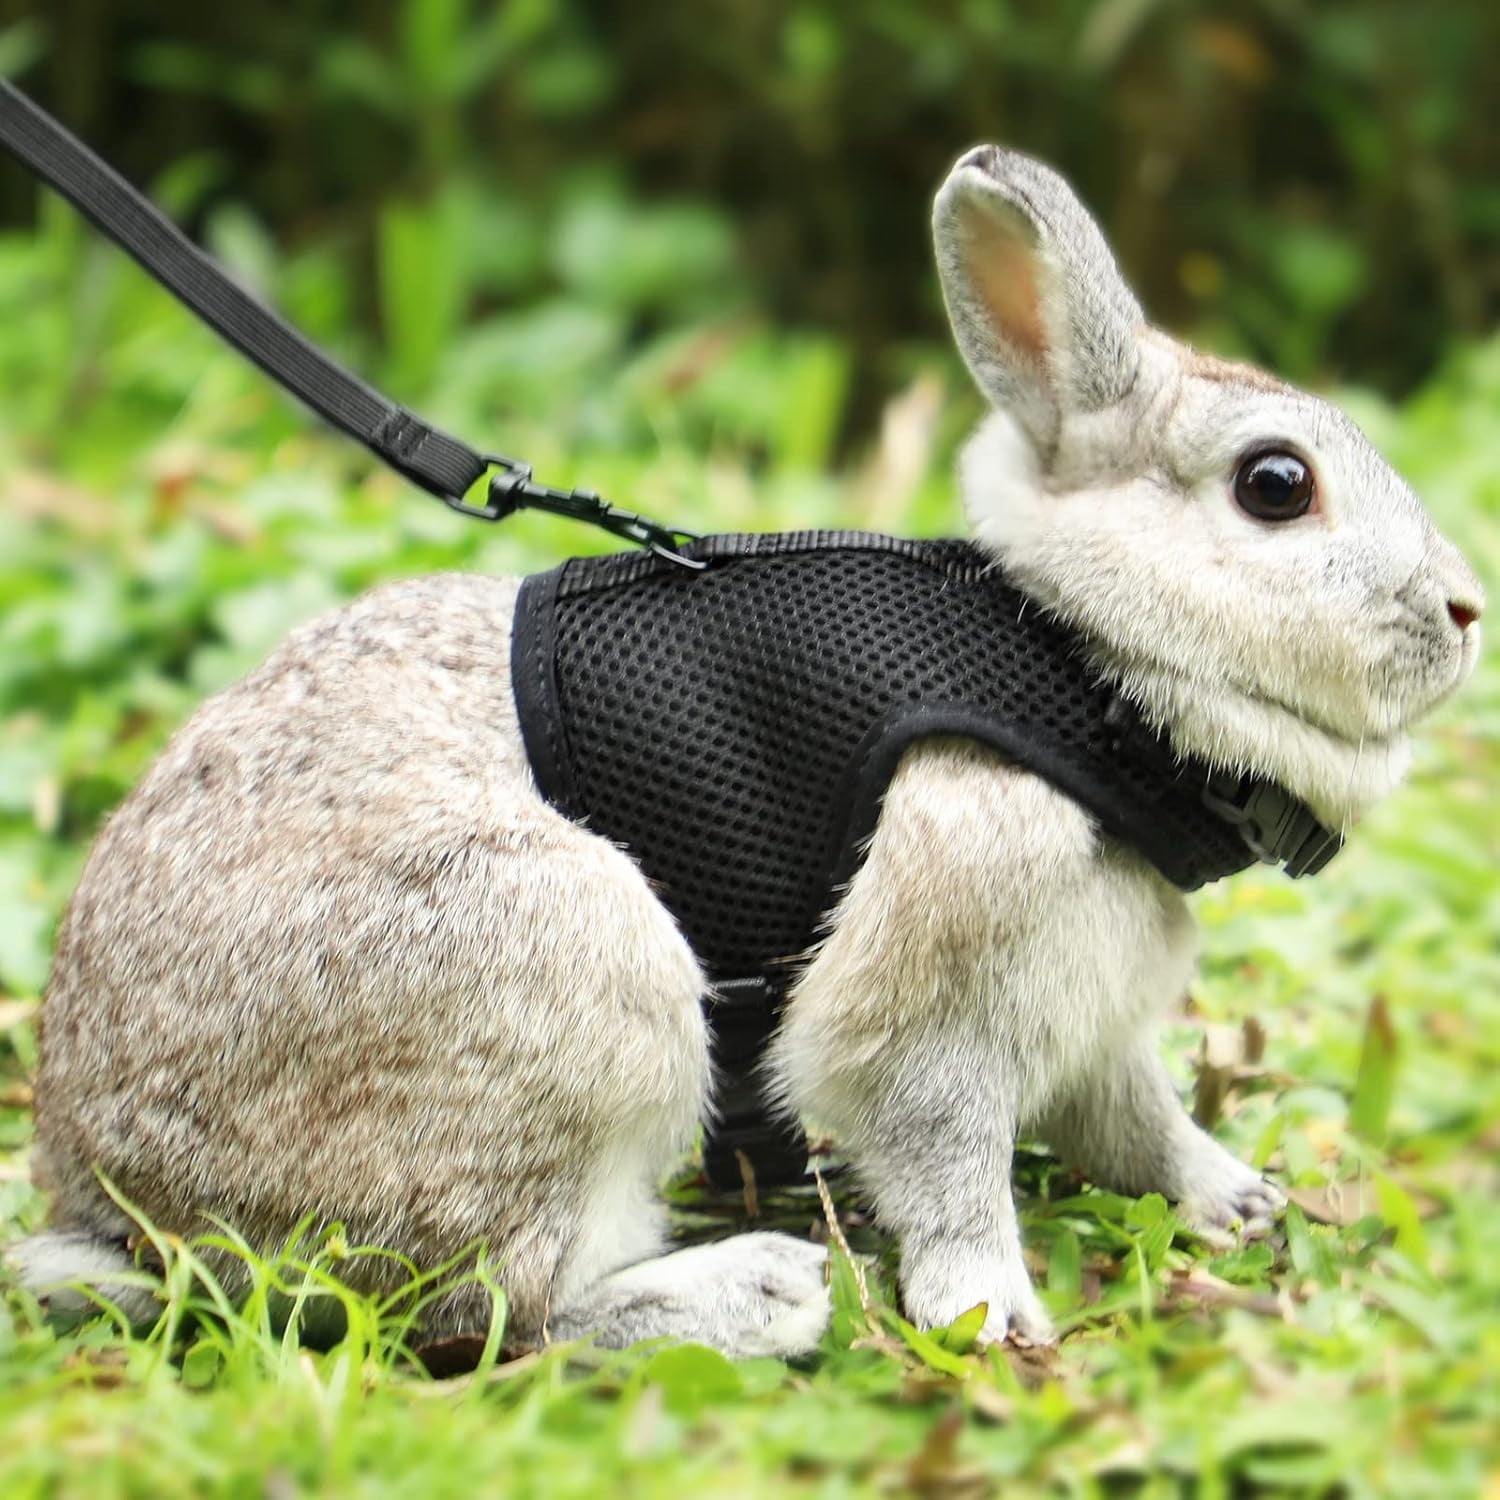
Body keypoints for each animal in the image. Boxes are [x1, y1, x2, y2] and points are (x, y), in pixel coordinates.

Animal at [9, 146, 1484, 1354]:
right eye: (1275, 486)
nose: (1470, 612)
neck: (1074, 665)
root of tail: (127, 1208)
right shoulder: (937, 978)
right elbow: (940, 1142)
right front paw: (987, 1315)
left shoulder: (1089, 1007)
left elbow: (1132, 1117)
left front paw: (1235, 1198)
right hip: (571, 973)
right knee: (495, 1308)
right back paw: (762, 1294)